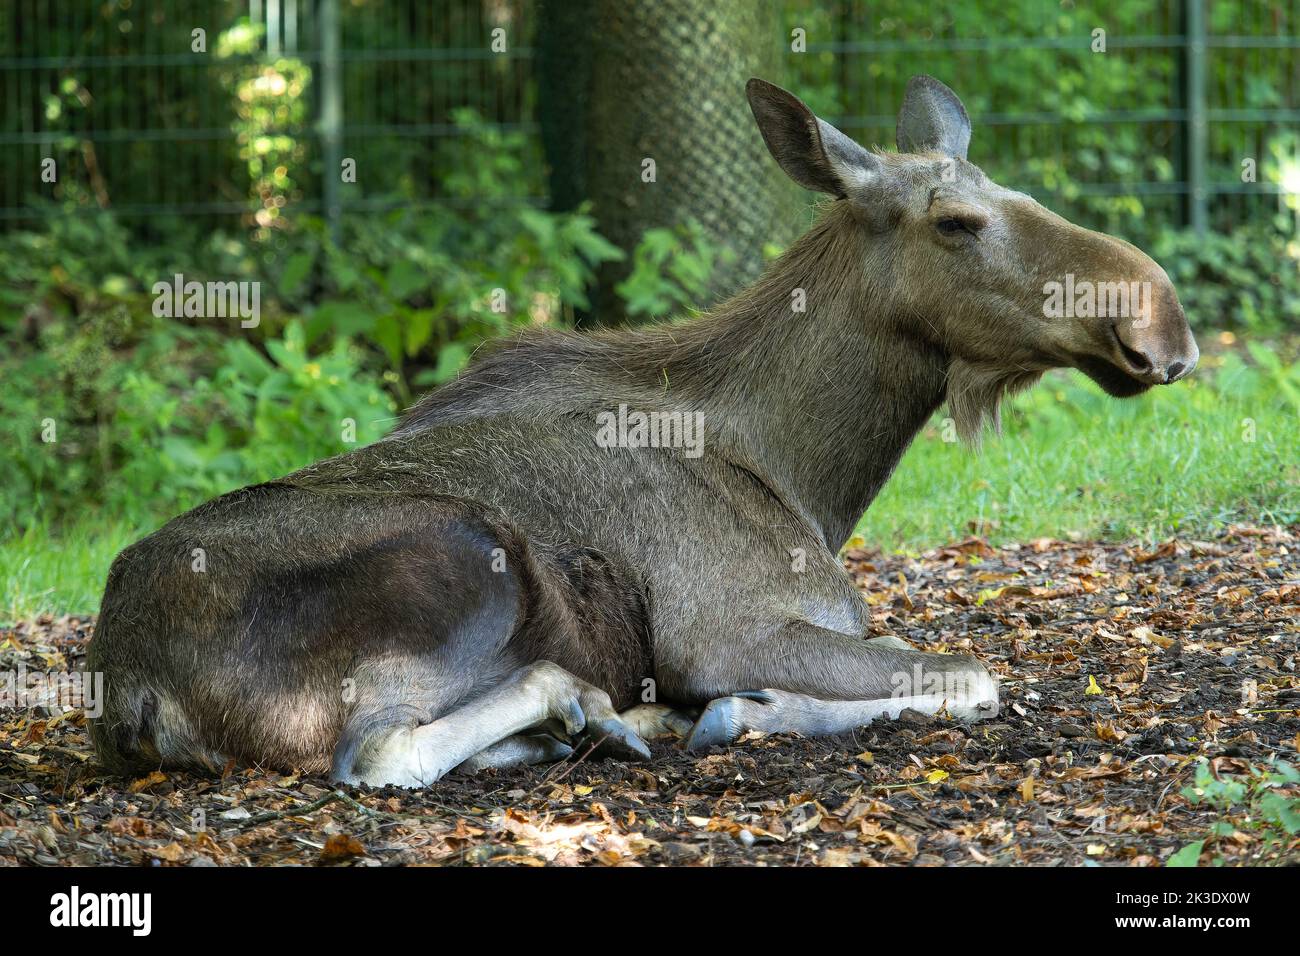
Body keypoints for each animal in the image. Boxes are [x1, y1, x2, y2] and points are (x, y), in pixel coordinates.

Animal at [88, 76, 1198, 788]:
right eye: (957, 222)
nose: (1161, 323)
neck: (811, 475)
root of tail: (134, 688)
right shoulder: (727, 628)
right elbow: (968, 671)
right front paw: (739, 710)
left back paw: (598, 724)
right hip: (470, 555)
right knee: (376, 754)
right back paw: (589, 703)